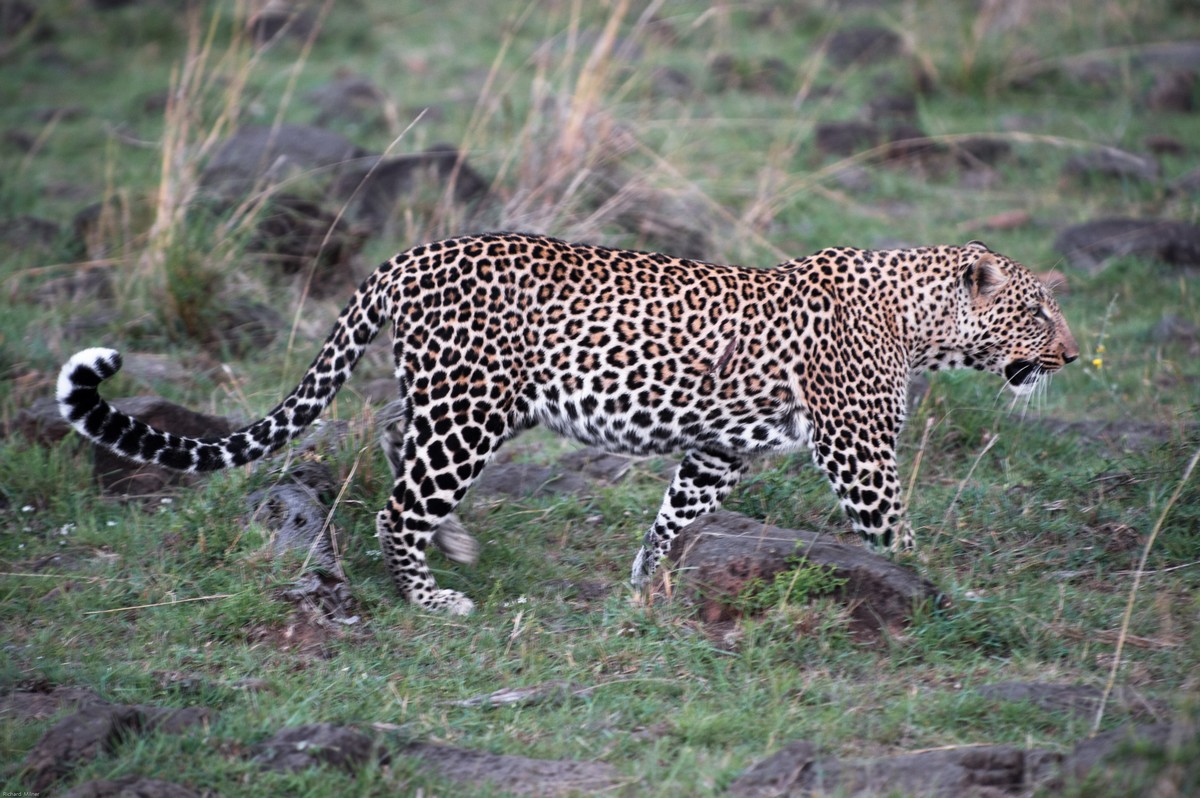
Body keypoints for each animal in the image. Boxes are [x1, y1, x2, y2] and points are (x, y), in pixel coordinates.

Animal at [57, 232, 1078, 615]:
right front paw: (953, 597)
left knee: (390, 436)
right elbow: (898, 535)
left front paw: (644, 590)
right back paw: (432, 598)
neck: (920, 322)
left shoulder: (718, 449)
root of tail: (410, 253)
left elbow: (673, 519)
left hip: (470, 402)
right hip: (470, 411)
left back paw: (456, 544)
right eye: (1037, 313)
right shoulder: (859, 455)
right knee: (396, 504)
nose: (1071, 356)